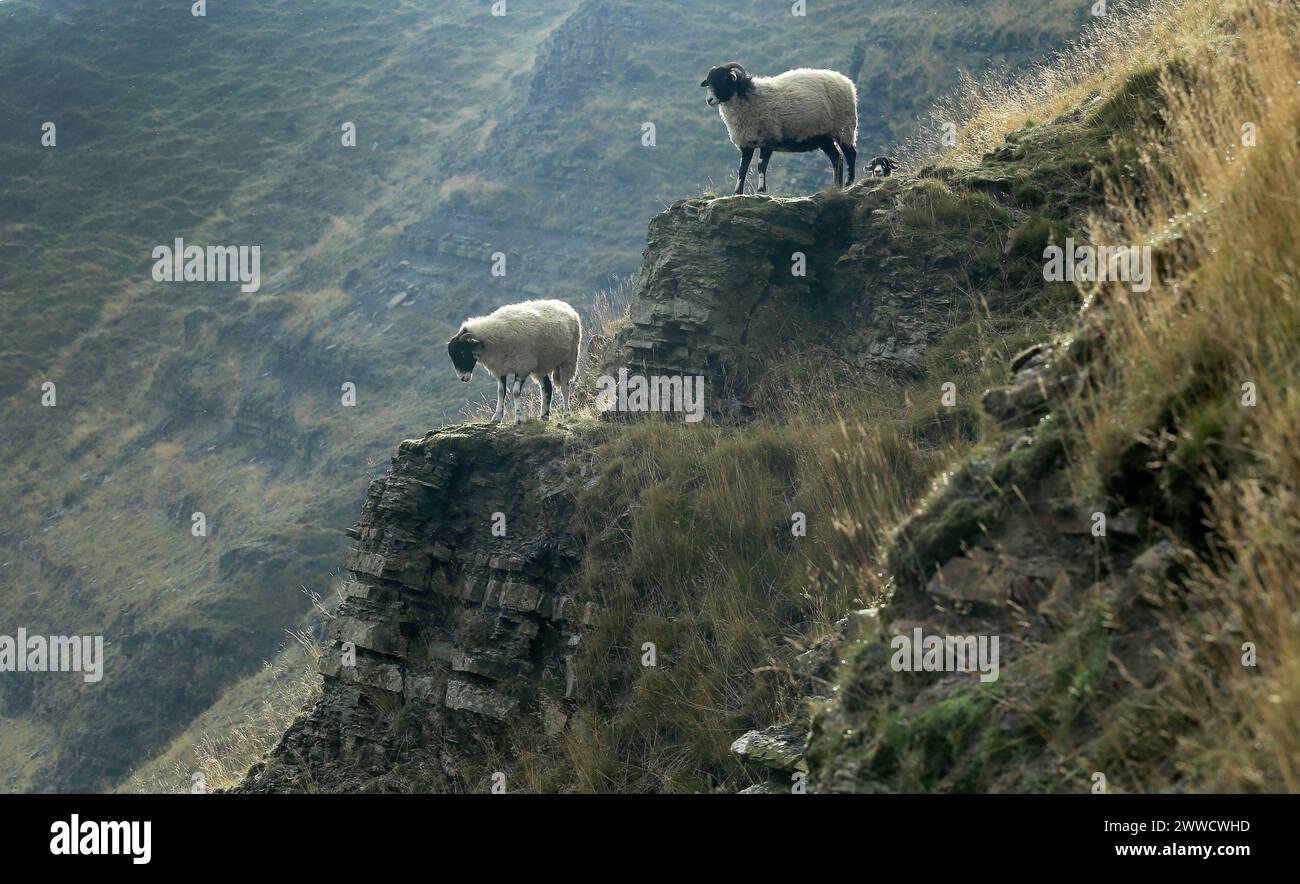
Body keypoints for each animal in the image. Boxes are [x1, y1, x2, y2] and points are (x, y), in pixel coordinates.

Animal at [447, 299, 582, 424]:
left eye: (463, 353)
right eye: (453, 356)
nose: (463, 378)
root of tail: (566, 306)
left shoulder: (522, 367)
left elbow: (516, 392)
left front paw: (519, 418)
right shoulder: (500, 369)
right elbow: (501, 392)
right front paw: (497, 417)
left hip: (569, 360)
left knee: (564, 386)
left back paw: (566, 413)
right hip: (541, 366)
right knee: (547, 388)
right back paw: (544, 416)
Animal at [700, 62, 859, 195]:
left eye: (723, 79)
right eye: (709, 82)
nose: (709, 100)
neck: (748, 97)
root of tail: (847, 81)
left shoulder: (768, 139)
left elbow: (761, 165)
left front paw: (761, 190)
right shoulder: (746, 143)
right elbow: (742, 169)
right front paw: (737, 193)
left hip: (844, 128)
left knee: (850, 154)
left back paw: (848, 184)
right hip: (824, 137)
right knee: (837, 158)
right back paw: (836, 186)